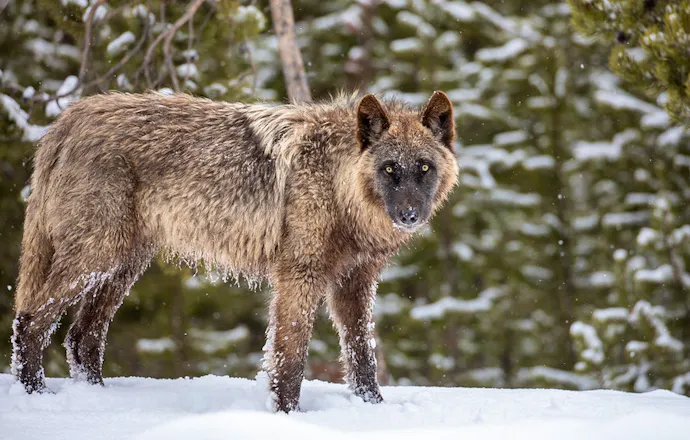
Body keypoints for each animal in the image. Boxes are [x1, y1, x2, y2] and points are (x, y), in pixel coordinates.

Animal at [11, 90, 458, 412]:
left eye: (423, 168)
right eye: (389, 169)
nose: (409, 215)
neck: (337, 184)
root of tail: (68, 118)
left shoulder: (355, 283)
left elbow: (362, 355)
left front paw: (373, 411)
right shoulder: (299, 276)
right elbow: (290, 358)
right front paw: (287, 416)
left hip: (121, 266)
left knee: (81, 337)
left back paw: (98, 400)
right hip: (97, 259)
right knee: (31, 321)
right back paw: (38, 398)